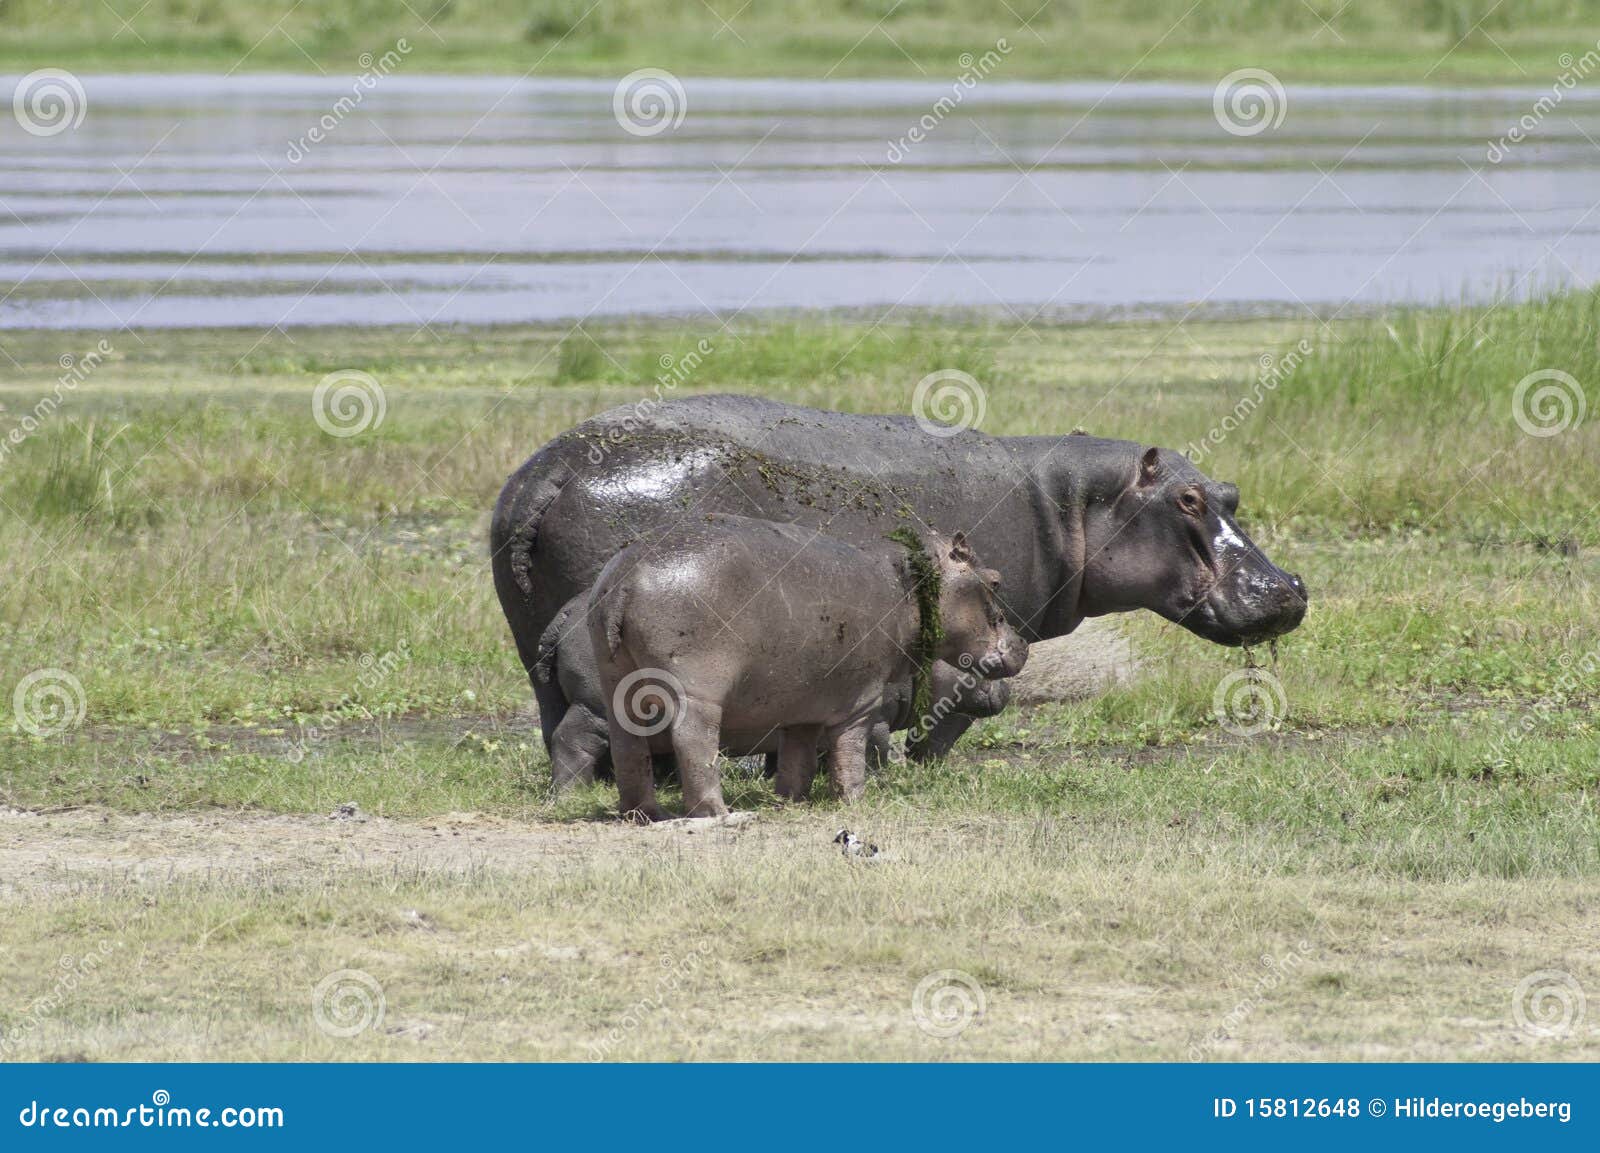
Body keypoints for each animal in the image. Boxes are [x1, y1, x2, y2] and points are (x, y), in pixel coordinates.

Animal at [490, 394, 1307, 764]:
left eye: (1231, 492)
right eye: (1188, 501)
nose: (1288, 589)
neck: (1072, 502)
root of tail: (545, 475)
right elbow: (982, 693)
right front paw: (911, 754)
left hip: (537, 639)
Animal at [535, 581, 1013, 790]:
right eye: (968, 657)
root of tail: (564, 615)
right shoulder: (872, 715)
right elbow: (872, 749)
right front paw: (875, 781)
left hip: (558, 698)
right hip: (597, 708)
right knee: (573, 740)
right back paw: (571, 792)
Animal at [588, 519, 1028, 820]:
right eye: (995, 580)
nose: (1023, 645)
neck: (910, 588)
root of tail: (624, 579)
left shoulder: (803, 704)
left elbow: (797, 757)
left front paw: (790, 800)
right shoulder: (860, 701)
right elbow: (850, 752)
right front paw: (855, 800)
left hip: (616, 684)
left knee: (627, 744)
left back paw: (645, 814)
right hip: (695, 691)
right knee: (693, 742)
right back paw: (719, 813)